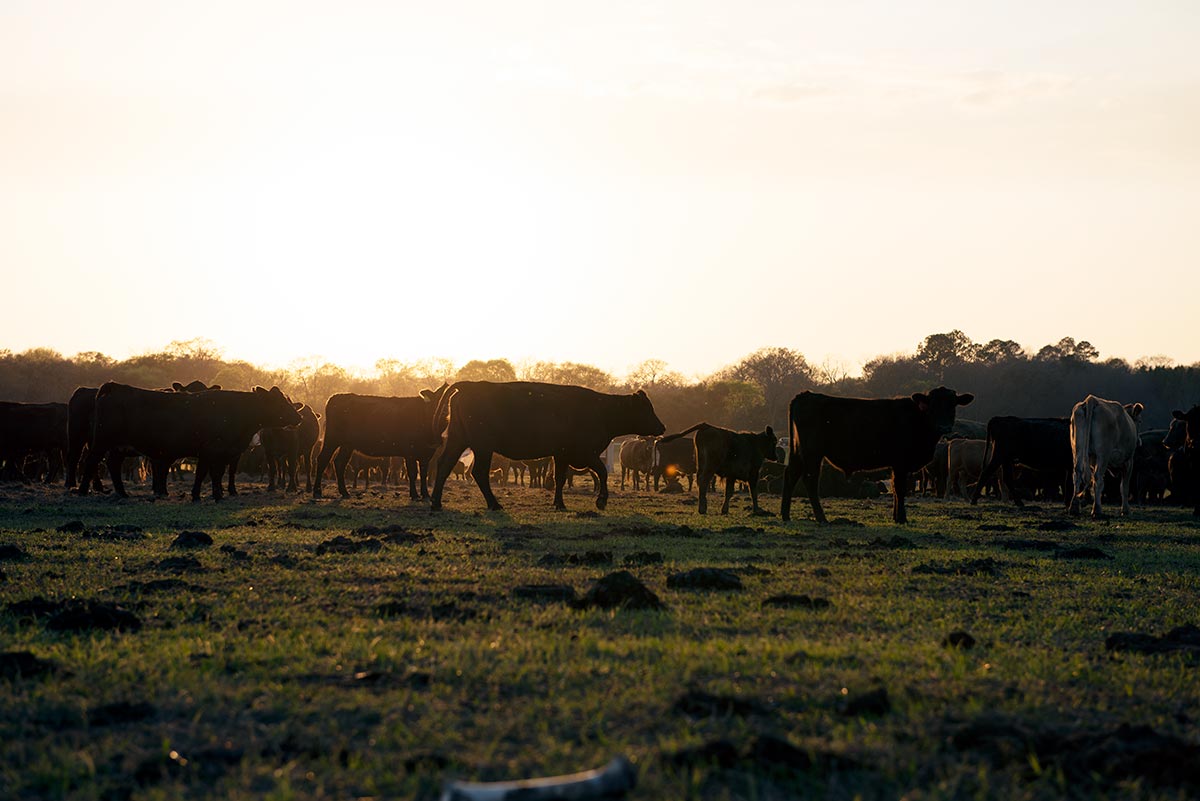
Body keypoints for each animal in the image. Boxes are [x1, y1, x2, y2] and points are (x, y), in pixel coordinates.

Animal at [78, 383, 299, 500]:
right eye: (279, 402)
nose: (299, 417)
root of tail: (115, 387)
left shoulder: (221, 453)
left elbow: (214, 474)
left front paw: (212, 494)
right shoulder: (211, 450)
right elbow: (205, 474)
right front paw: (204, 495)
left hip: (119, 448)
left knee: (113, 465)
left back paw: (123, 493)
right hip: (101, 443)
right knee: (90, 462)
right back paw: (82, 491)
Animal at [312, 385, 449, 500]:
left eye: (447, 403)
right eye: (437, 402)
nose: (443, 414)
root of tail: (336, 397)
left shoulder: (427, 453)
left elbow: (424, 473)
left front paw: (425, 494)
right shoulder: (409, 452)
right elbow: (413, 473)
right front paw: (414, 495)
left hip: (347, 445)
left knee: (340, 462)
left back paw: (344, 492)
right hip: (332, 439)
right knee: (323, 459)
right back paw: (317, 491)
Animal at [428, 381, 665, 512]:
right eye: (646, 409)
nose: (661, 427)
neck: (602, 411)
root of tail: (469, 386)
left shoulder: (561, 455)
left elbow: (559, 478)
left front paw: (559, 503)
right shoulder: (585, 453)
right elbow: (602, 473)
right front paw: (601, 501)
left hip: (459, 440)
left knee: (444, 465)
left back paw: (436, 503)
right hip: (482, 446)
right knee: (478, 472)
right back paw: (494, 504)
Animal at [781, 387, 974, 524]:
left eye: (953, 405)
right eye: (932, 406)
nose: (944, 427)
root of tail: (806, 395)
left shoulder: (898, 465)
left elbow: (896, 489)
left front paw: (897, 517)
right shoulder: (901, 463)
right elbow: (900, 489)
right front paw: (902, 518)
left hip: (798, 451)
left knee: (791, 474)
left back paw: (786, 515)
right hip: (812, 452)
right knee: (810, 480)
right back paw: (821, 518)